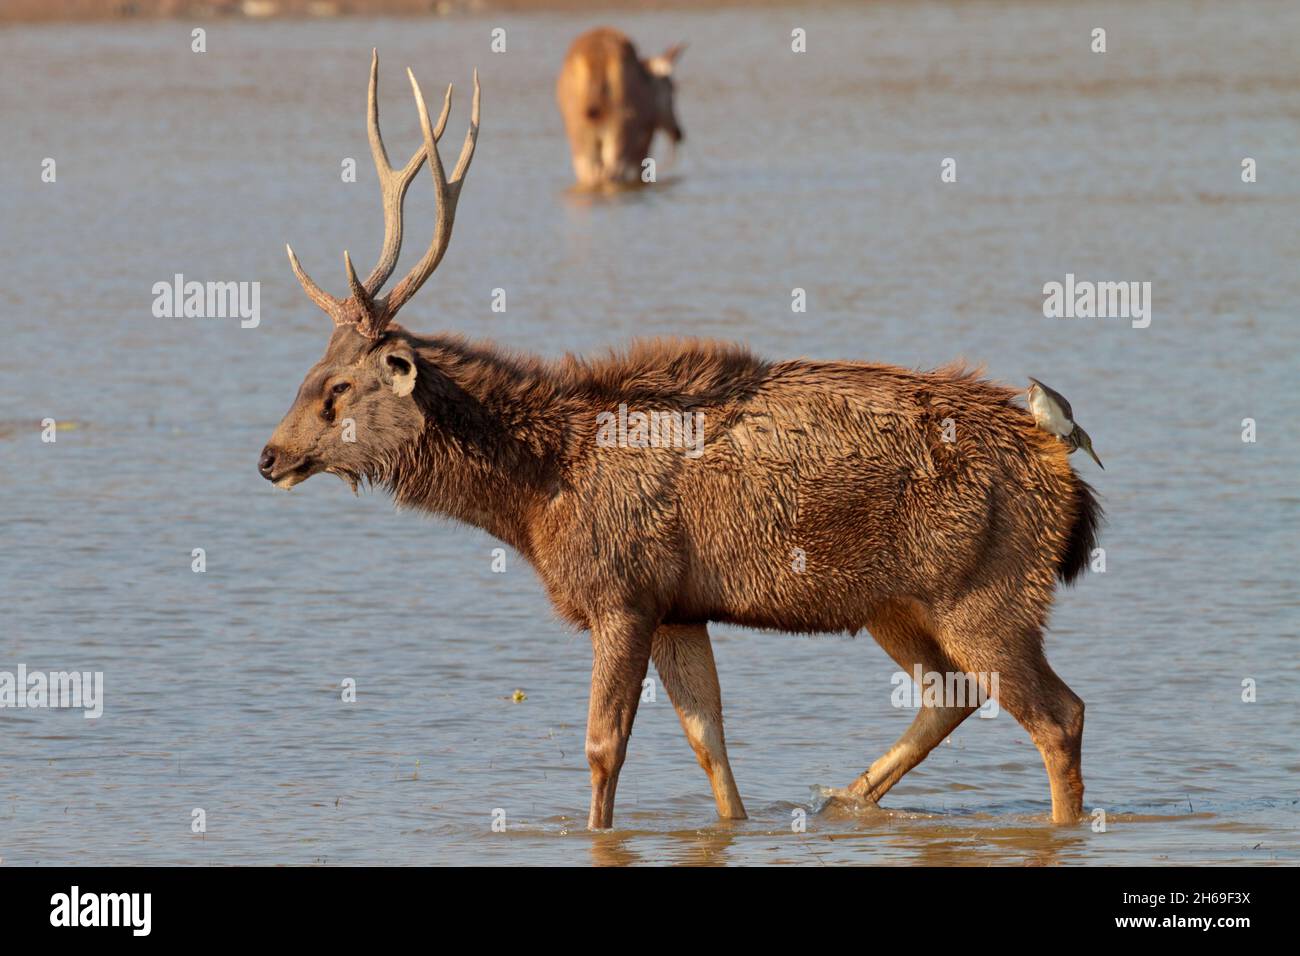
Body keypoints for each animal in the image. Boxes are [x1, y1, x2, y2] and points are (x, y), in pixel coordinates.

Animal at [260, 52, 1102, 830]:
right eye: (310, 371)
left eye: (338, 388)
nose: (269, 456)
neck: (537, 497)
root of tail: (1066, 472)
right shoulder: (679, 608)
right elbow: (710, 744)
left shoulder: (622, 592)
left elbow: (605, 746)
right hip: (899, 600)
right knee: (951, 694)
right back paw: (842, 798)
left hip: (988, 589)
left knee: (1058, 715)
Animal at [555, 27, 685, 188]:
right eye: (672, 87)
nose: (678, 133)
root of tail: (597, 60)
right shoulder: (644, 136)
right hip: (620, 131)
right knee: (611, 173)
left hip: (580, 136)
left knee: (591, 174)